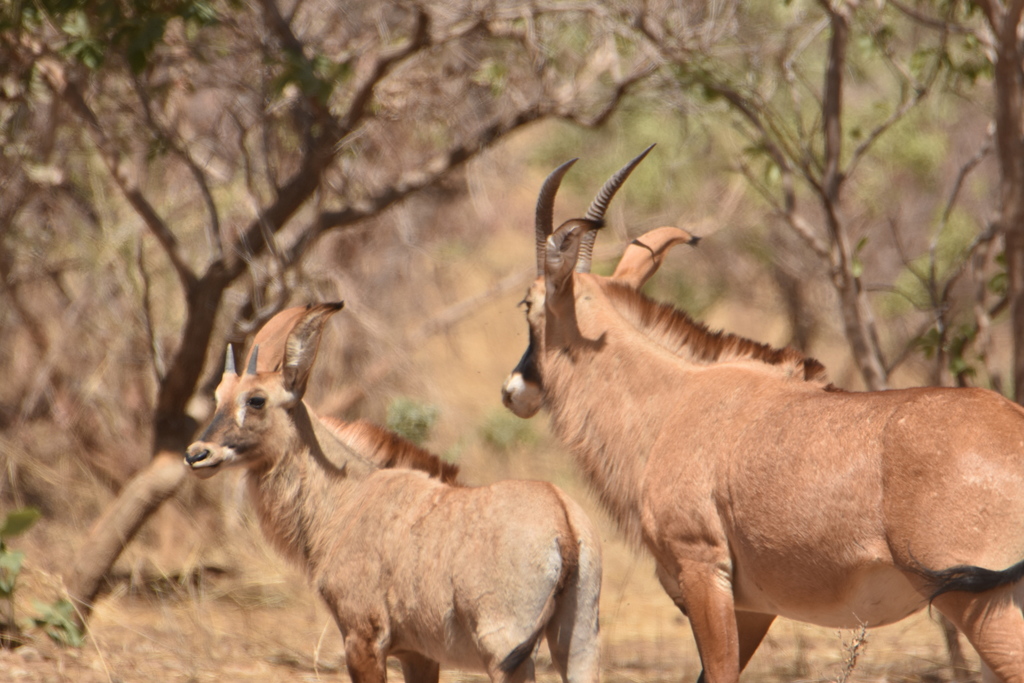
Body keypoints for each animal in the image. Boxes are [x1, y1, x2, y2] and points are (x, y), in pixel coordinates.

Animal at [185, 302, 602, 683]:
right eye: (220, 395)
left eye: (256, 400)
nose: (197, 454)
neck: (348, 498)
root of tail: (562, 521)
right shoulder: (418, 655)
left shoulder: (362, 639)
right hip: (577, 647)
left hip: (505, 654)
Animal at [501, 150, 1024, 683]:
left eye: (528, 303)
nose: (513, 390)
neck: (674, 402)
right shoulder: (753, 608)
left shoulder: (701, 566)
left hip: (979, 604)